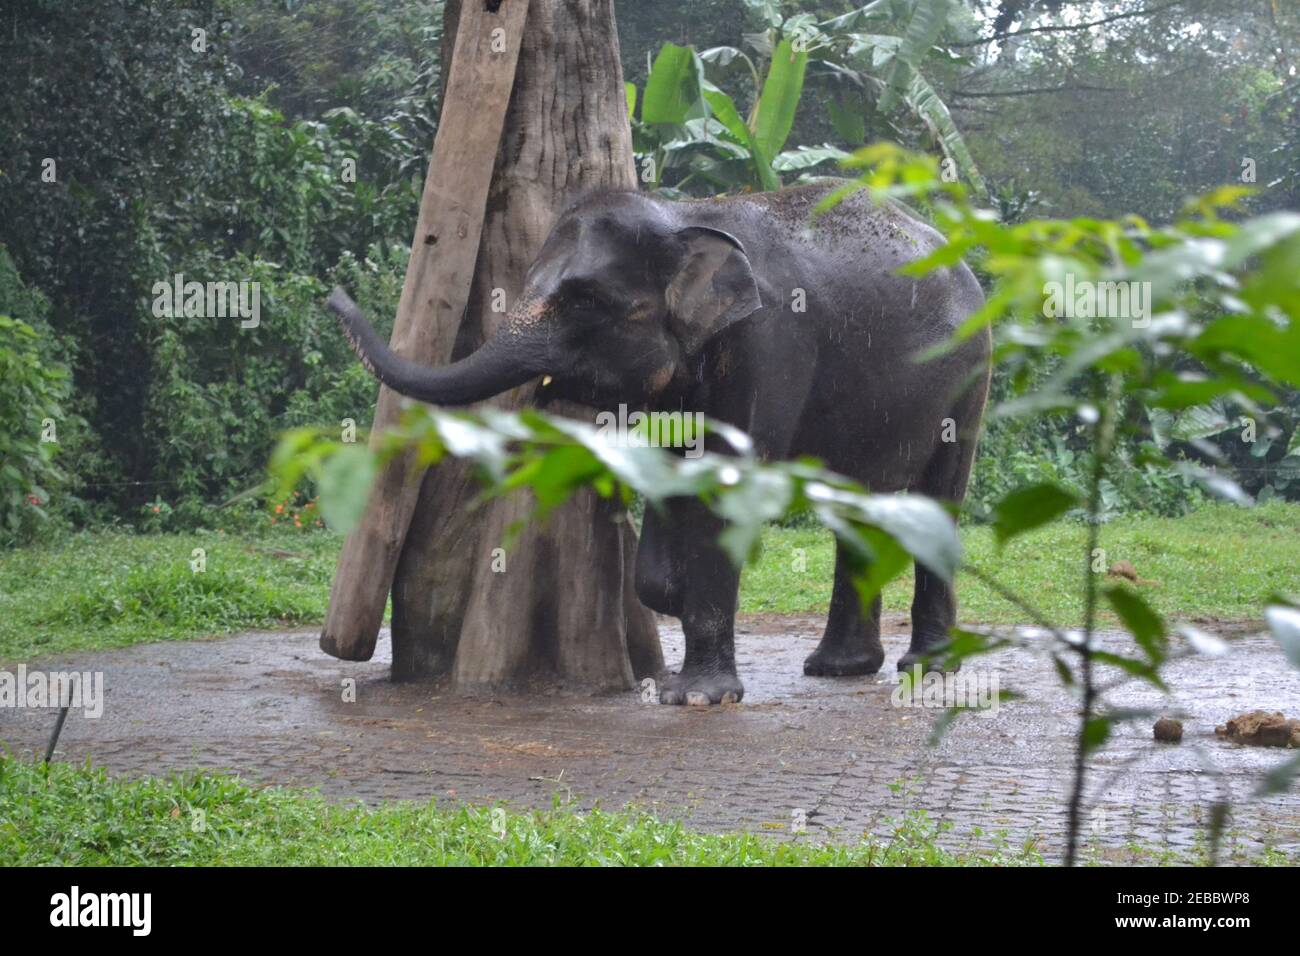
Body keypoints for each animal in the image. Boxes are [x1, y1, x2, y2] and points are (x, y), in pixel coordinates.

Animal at [328, 179, 990, 705]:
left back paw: (926, 668)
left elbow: (725, 488)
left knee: (941, 493)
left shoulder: (767, 344)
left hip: (971, 375)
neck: (682, 215)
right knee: (859, 505)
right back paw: (839, 669)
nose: (333, 292)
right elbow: (673, 477)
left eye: (587, 301)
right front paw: (670, 597)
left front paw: (698, 697)